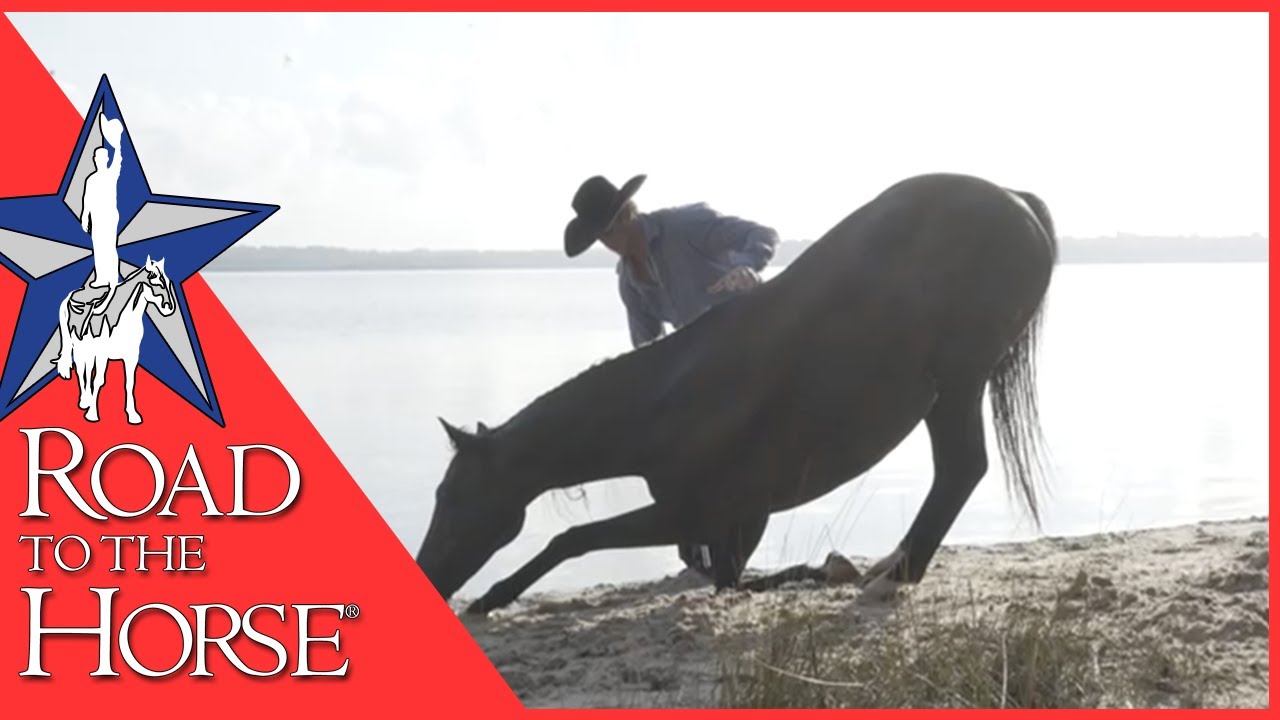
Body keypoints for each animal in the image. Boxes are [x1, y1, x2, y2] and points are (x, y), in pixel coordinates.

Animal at [54, 256, 177, 425]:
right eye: (155, 282)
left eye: (168, 282)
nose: (169, 308)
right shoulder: (102, 355)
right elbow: (98, 380)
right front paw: (92, 414)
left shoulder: (132, 357)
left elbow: (130, 383)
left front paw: (133, 415)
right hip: (78, 347)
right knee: (80, 370)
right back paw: (84, 401)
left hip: (89, 351)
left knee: (87, 370)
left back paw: (87, 400)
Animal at [418, 173, 1058, 614]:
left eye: (450, 497)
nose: (425, 575)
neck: (658, 408)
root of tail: (1015, 198)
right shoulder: (728, 519)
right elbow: (733, 580)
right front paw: (821, 569)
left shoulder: (692, 510)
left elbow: (571, 538)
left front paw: (492, 597)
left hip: (959, 379)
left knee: (961, 468)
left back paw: (892, 576)